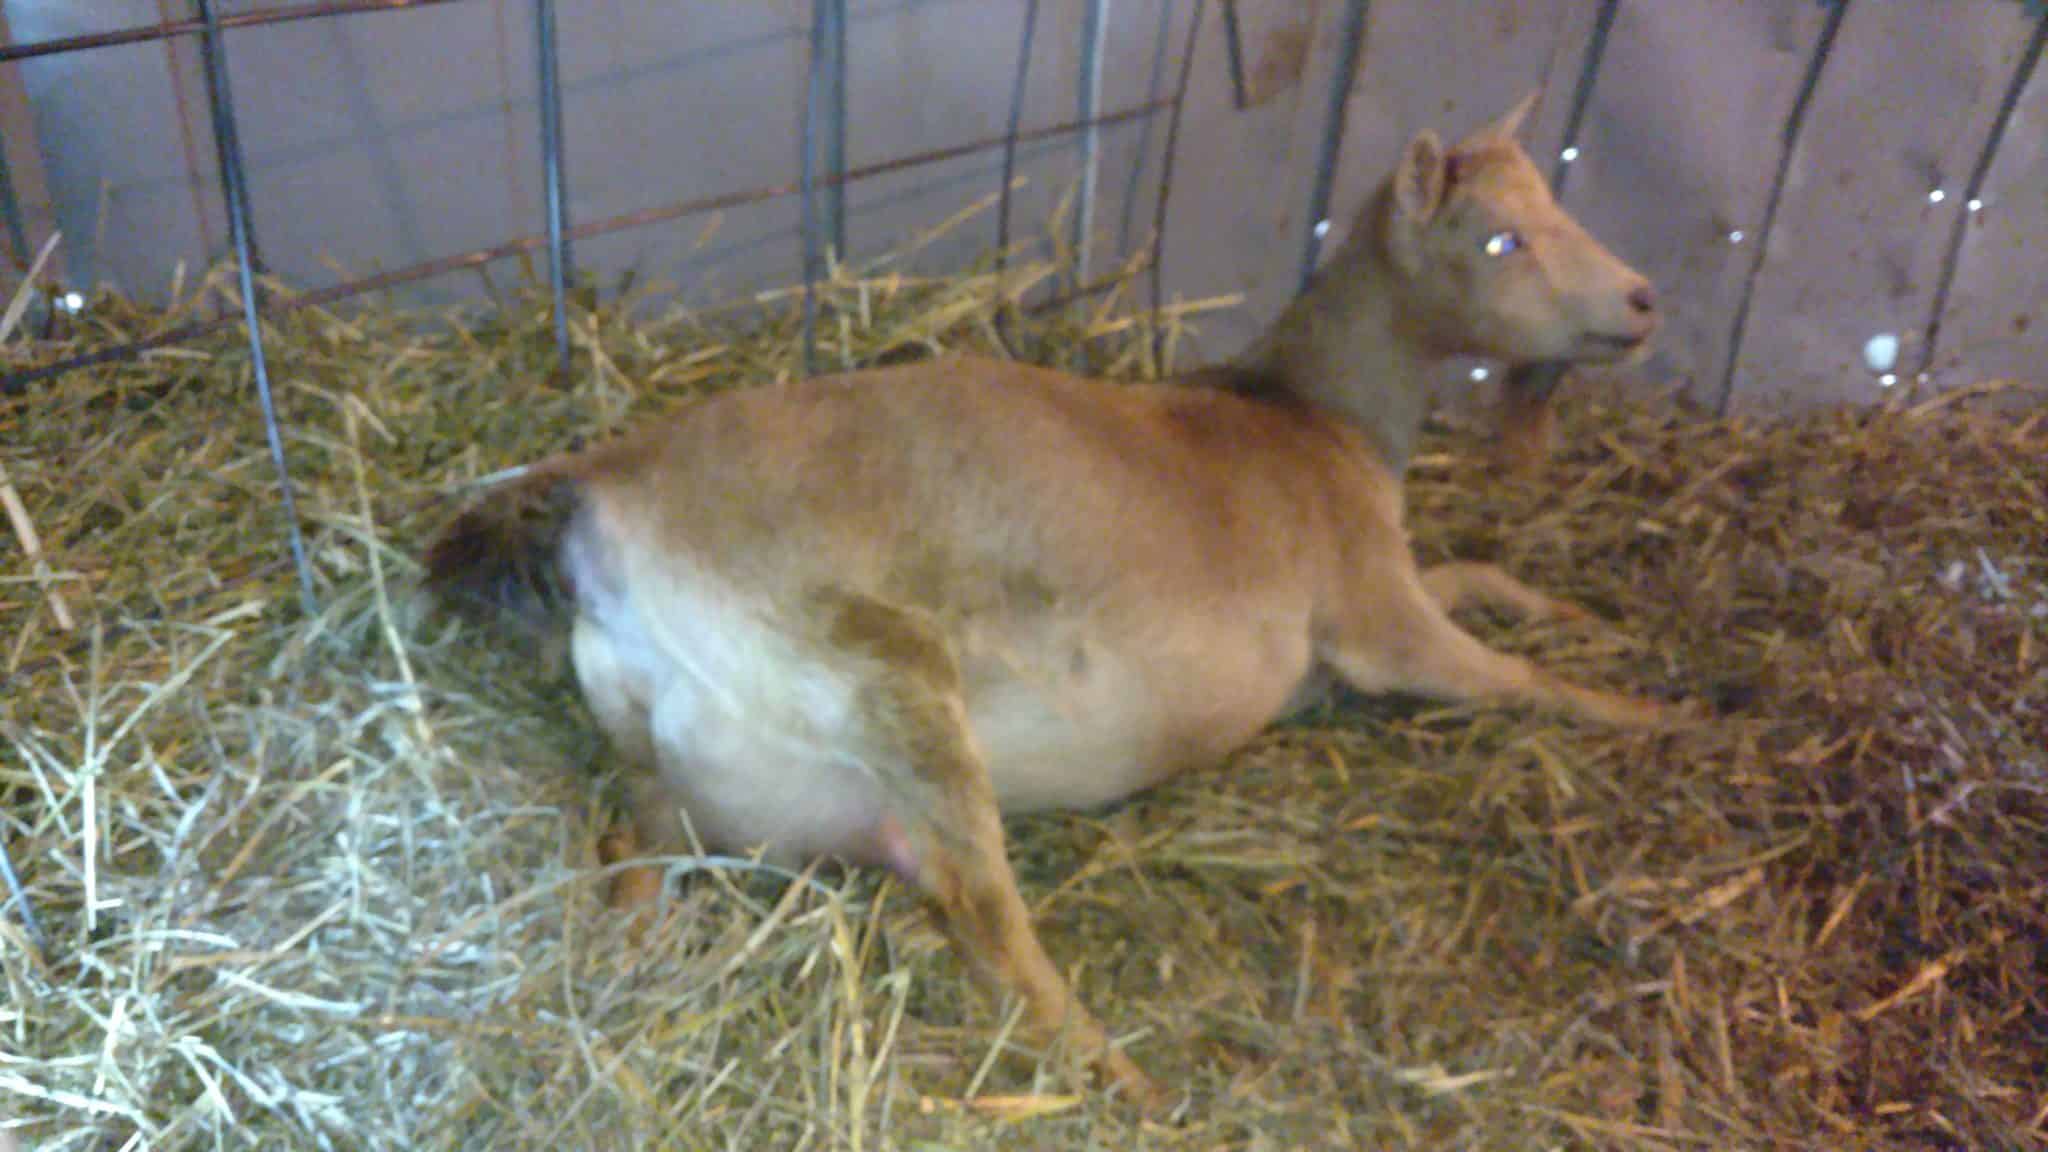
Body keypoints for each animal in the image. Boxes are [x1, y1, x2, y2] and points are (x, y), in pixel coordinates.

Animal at [423, 93, 1669, 1112]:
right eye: (1500, 238)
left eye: (1554, 199)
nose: (1642, 300)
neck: (1308, 420)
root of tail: (604, 500)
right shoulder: (1375, 615)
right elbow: (1518, 681)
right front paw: (1662, 715)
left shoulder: (1384, 599)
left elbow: (1483, 581)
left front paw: (1580, 618)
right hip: (887, 682)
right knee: (978, 912)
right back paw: (1127, 1078)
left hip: (666, 765)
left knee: (633, 855)